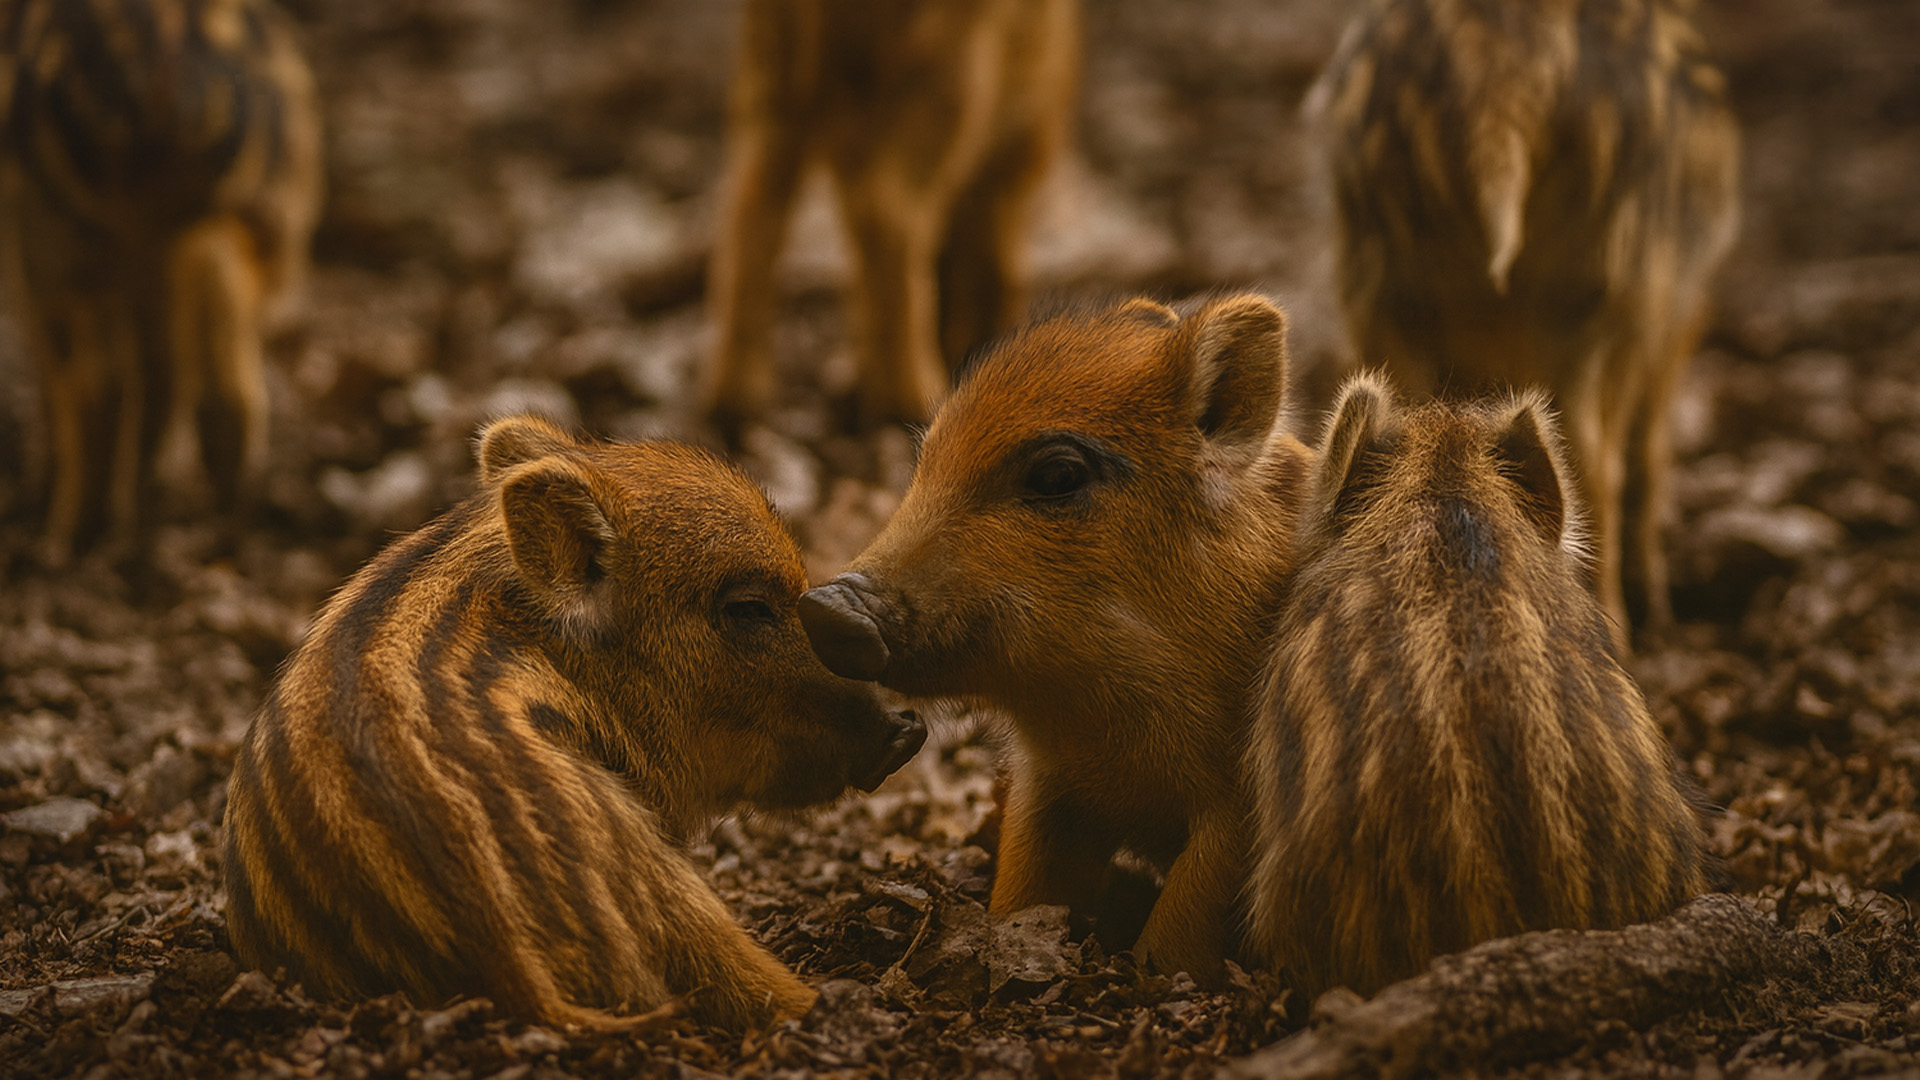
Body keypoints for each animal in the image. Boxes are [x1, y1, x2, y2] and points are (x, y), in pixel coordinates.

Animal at [0, 0, 324, 562]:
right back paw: (212, 523)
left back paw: (67, 540)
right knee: (213, 369)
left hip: (63, 243)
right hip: (257, 215)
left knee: (95, 380)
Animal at [703, 0, 1079, 428]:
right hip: (939, 88)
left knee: (750, 208)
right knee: (886, 217)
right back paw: (914, 401)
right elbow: (997, 260)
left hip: (770, 85)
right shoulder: (1020, 144)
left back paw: (736, 402)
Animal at [800, 294, 1316, 980]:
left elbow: (1188, 916)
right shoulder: (1047, 786)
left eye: (1058, 476)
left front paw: (1151, 972)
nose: (826, 606)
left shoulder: (1242, 804)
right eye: (926, 458)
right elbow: (1023, 887)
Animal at [1310, 0, 1741, 640]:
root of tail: (1499, 61)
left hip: (1376, 275)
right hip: (1607, 289)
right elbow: (1649, 455)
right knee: (1595, 462)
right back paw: (1619, 633)